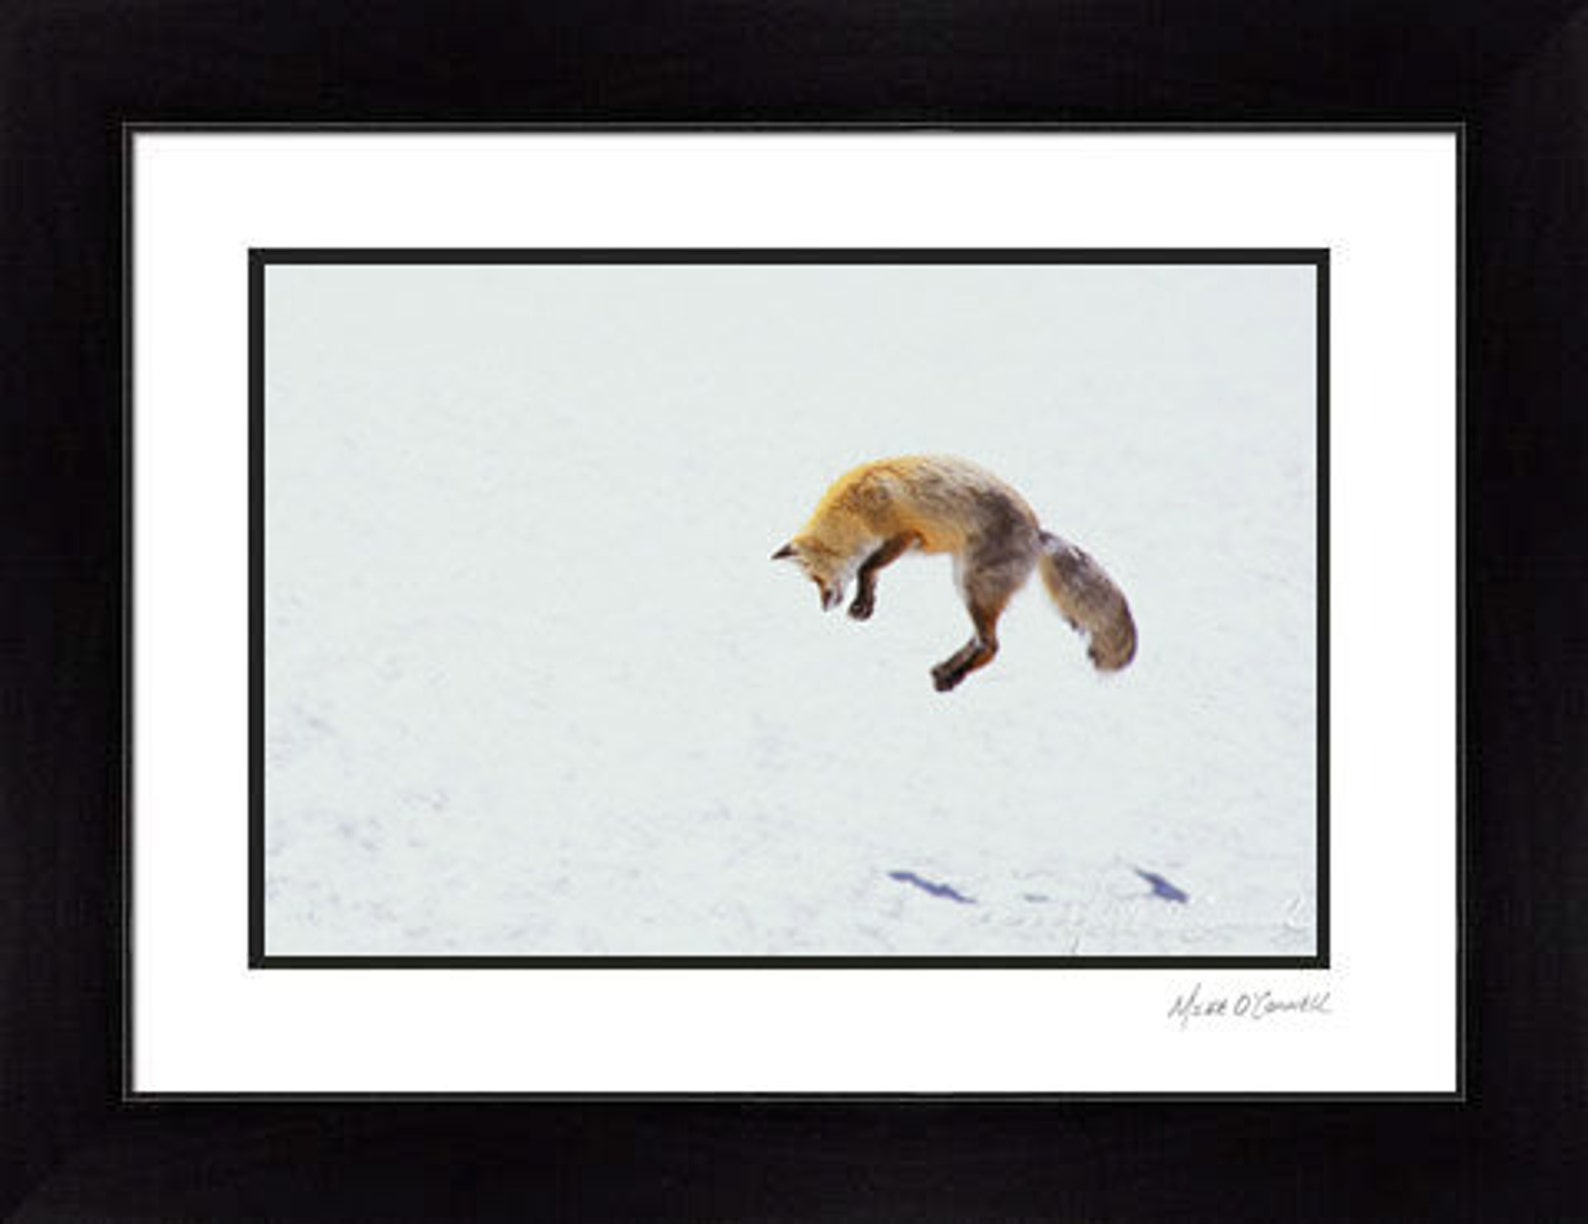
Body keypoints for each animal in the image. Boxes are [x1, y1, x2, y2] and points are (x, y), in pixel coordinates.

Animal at [773, 455, 1136, 691]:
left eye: (817, 580)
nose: (825, 607)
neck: (854, 510)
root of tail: (1037, 534)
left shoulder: (907, 534)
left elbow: (866, 566)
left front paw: (862, 603)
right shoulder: (897, 541)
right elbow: (871, 571)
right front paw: (867, 603)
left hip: (973, 585)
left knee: (991, 646)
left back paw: (952, 679)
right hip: (966, 583)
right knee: (980, 640)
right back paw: (947, 670)